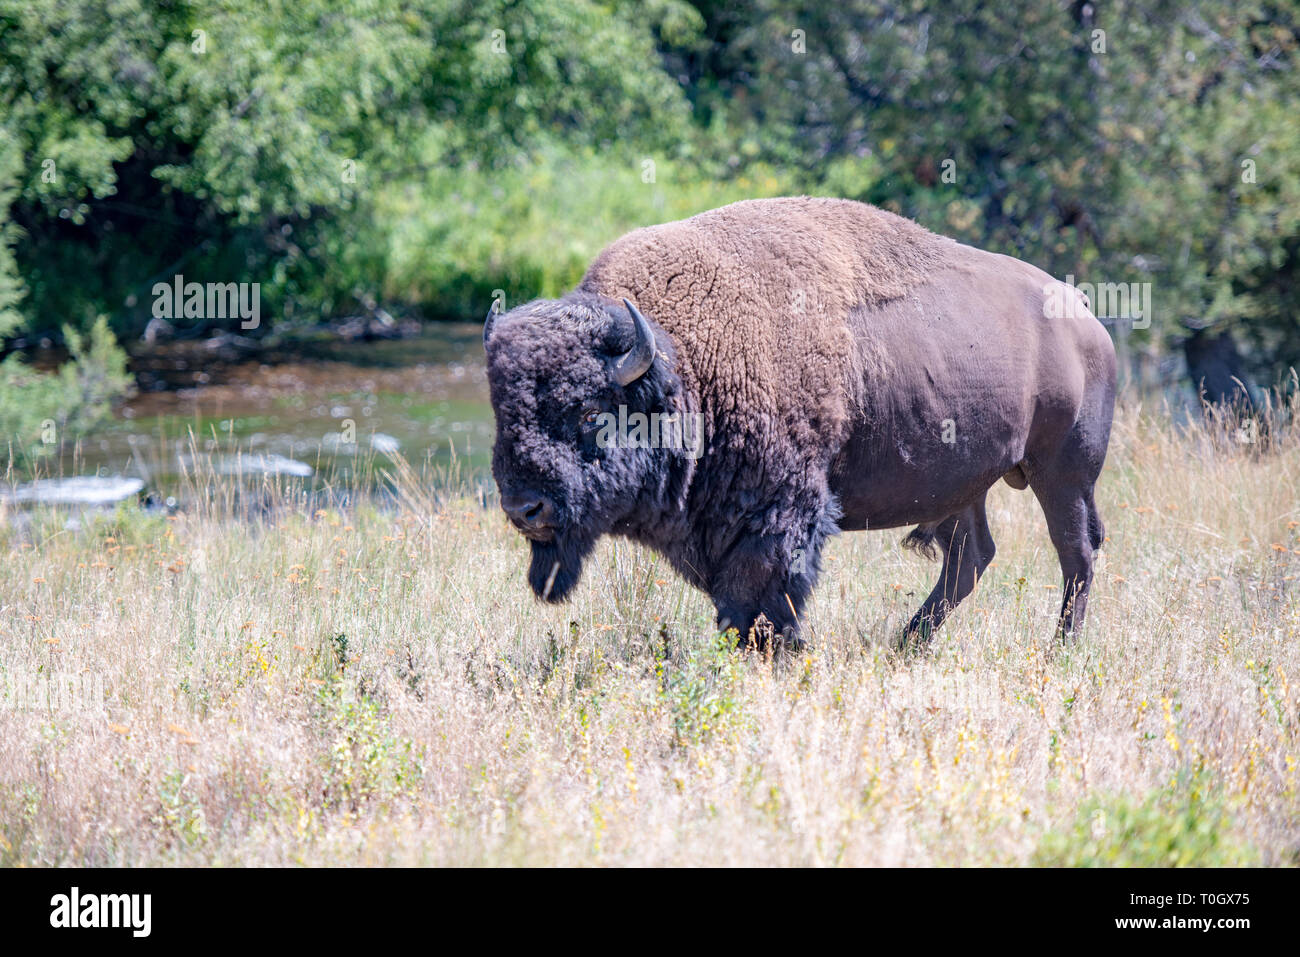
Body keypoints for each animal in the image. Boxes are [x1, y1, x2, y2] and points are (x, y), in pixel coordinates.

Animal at [484, 197, 1116, 648]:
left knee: (1075, 553)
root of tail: (1086, 319)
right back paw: (907, 644)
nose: (524, 508)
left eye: (591, 412)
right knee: (971, 557)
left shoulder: (778, 513)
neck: (684, 362)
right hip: (964, 484)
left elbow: (763, 595)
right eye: (502, 410)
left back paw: (1059, 650)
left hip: (1062, 472)